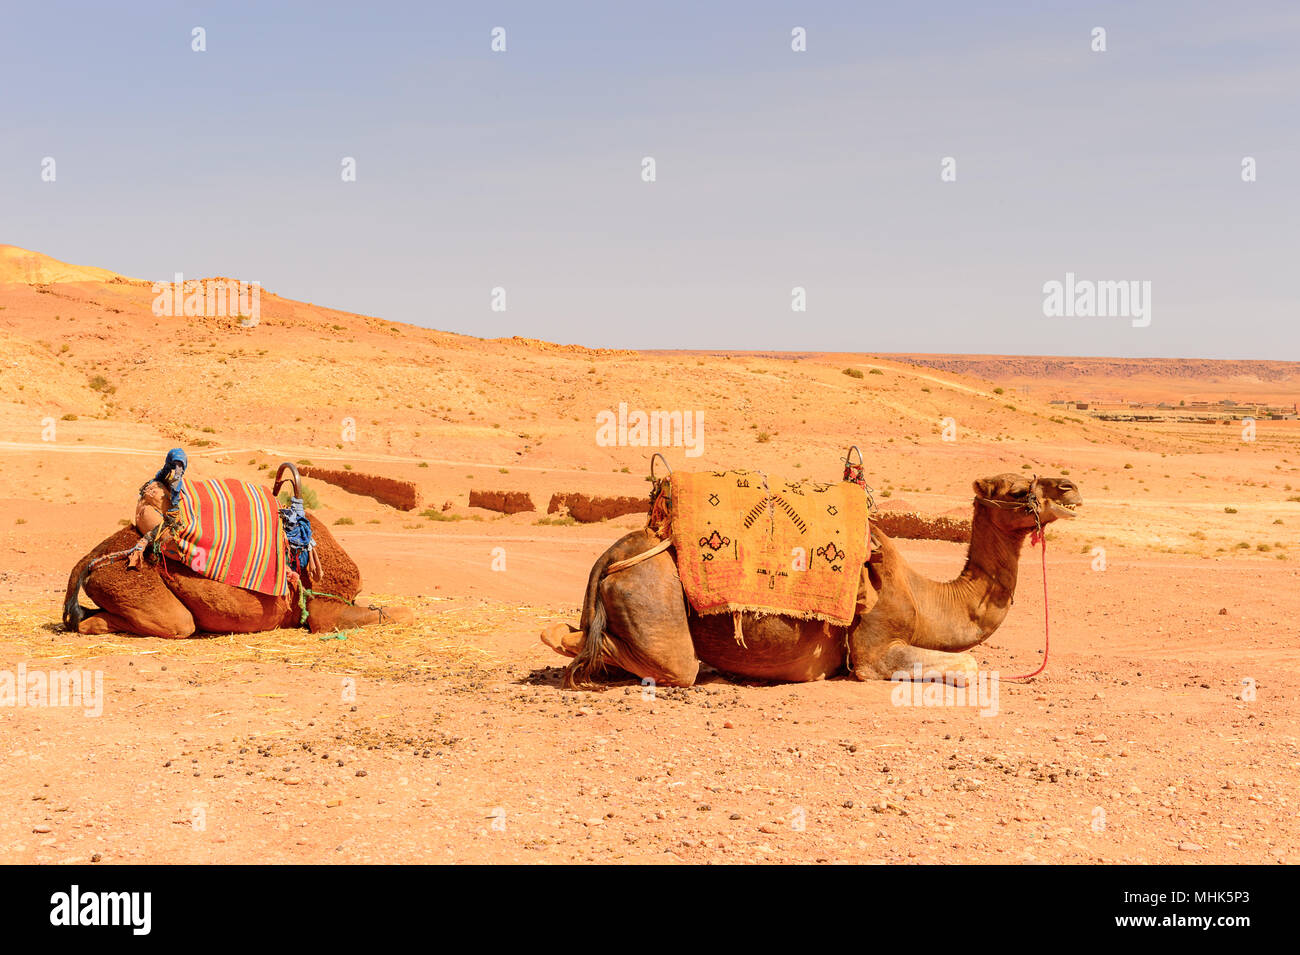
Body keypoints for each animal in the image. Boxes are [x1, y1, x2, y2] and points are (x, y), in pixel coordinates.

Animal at [541, 473, 1082, 689]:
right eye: (1018, 489)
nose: (1070, 487)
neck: (927, 598)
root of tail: (613, 556)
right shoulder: (870, 649)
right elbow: (968, 665)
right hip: (655, 602)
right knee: (658, 661)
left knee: (565, 634)